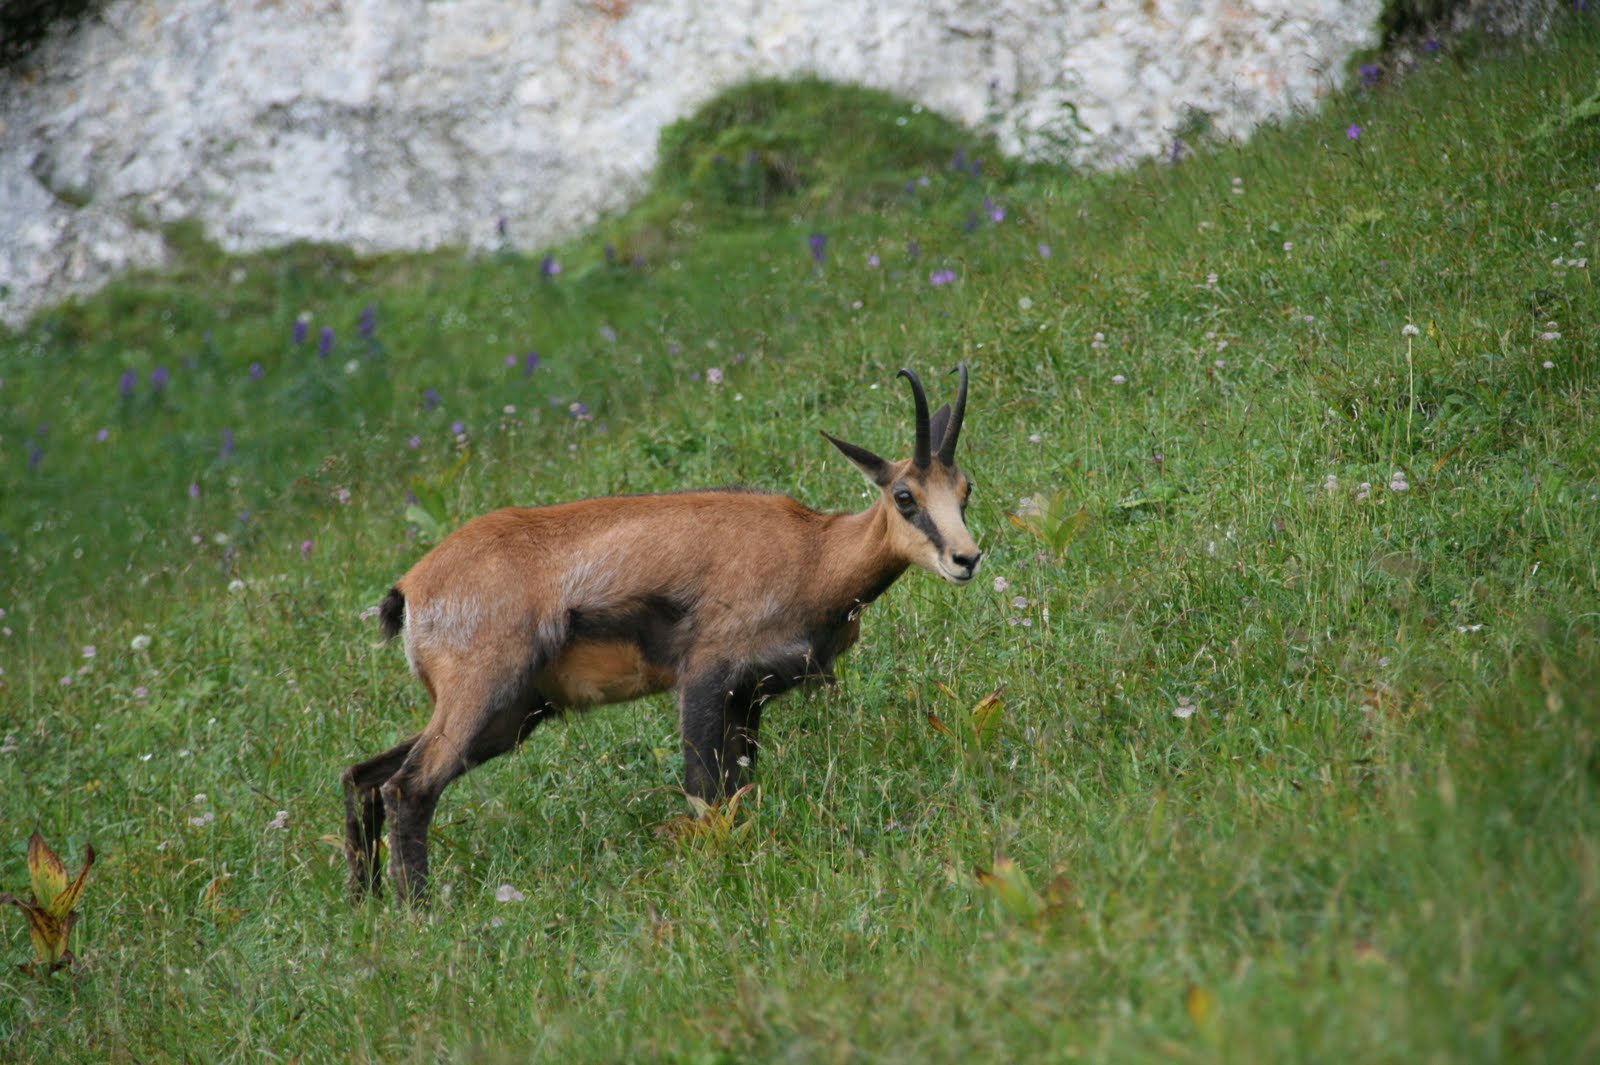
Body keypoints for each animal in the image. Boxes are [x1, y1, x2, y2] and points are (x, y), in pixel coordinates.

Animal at [343, 366, 980, 902]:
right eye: (905, 496)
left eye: (965, 489)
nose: (967, 559)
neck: (814, 553)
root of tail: (412, 588)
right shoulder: (704, 681)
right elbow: (705, 792)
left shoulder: (748, 698)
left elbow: (739, 789)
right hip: (483, 698)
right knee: (408, 787)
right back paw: (418, 909)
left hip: (510, 717)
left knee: (365, 776)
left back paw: (366, 903)